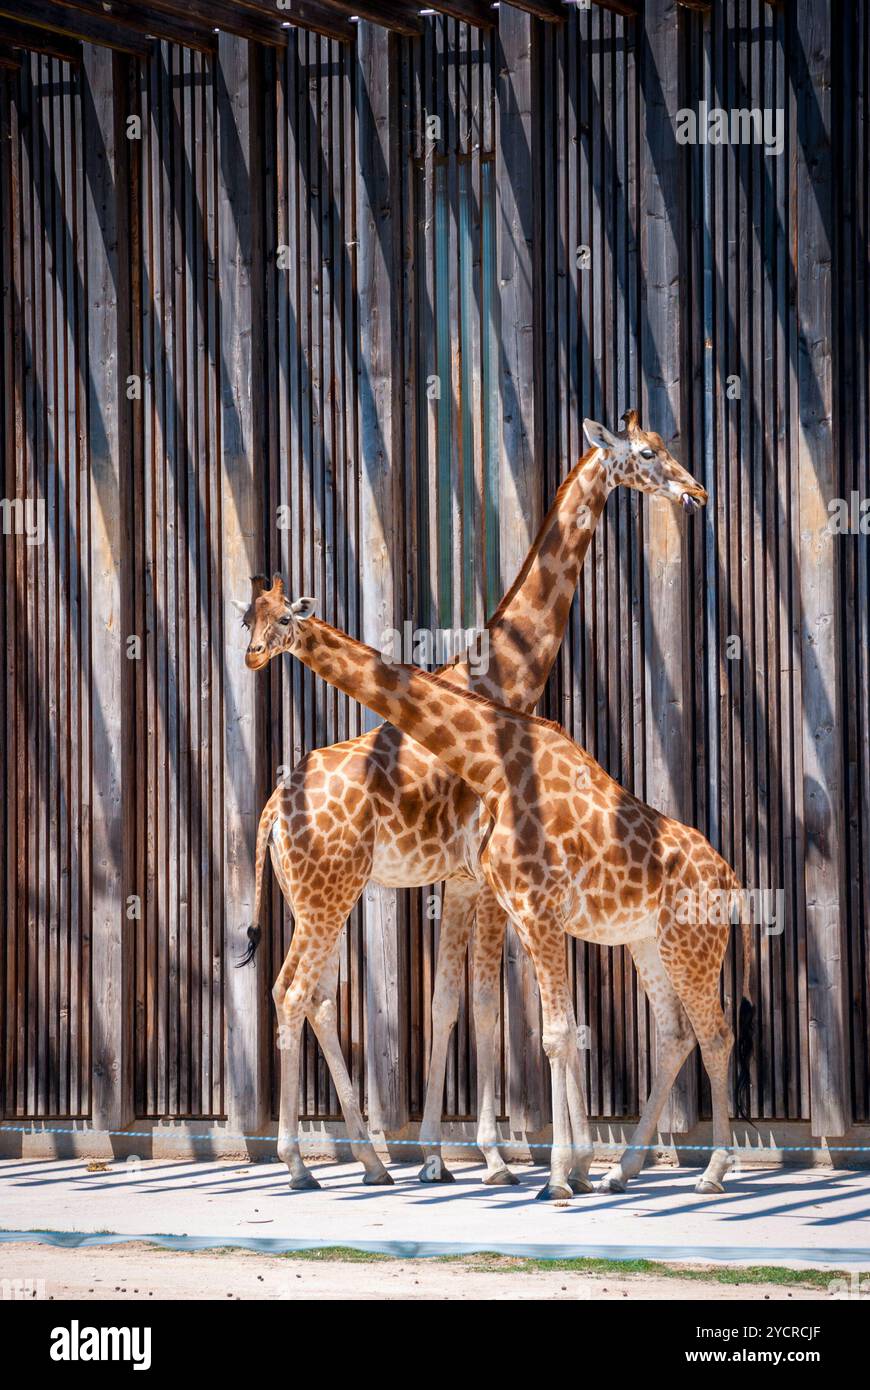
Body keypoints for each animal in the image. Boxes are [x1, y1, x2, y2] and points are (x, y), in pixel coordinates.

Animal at [239, 413, 709, 1190]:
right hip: (328, 894)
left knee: (315, 996)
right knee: (296, 993)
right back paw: (305, 1164)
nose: (696, 493)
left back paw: (369, 1161)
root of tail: (275, 808)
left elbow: (452, 1004)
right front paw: (497, 1159)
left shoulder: (462, 880)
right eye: (648, 455)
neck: (502, 676)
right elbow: (486, 1005)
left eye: (669, 446)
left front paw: (446, 1157)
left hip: (316, 897)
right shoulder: (479, 879)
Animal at [245, 598, 755, 1201]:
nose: (253, 655)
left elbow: (545, 1029)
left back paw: (712, 1171)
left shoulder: (533, 910)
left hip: (691, 945)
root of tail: (732, 879)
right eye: (248, 618)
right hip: (646, 941)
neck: (493, 763)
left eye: (282, 620)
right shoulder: (523, 910)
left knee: (715, 1035)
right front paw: (567, 1169)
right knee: (677, 1034)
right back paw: (622, 1171)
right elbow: (545, 1026)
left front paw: (555, 1175)